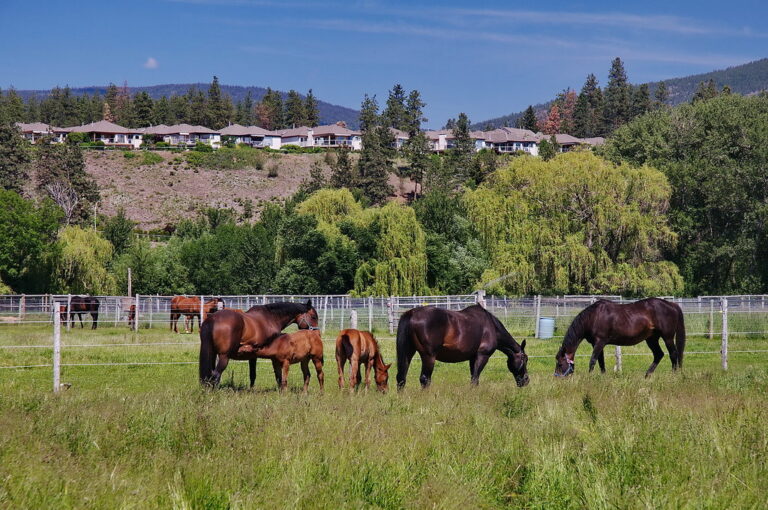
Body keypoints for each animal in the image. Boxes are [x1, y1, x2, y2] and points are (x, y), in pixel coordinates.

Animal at [396, 304, 529, 389]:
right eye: (525, 360)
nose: (526, 380)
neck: (491, 327)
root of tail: (411, 314)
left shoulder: (472, 358)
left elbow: (473, 378)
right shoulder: (482, 356)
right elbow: (475, 379)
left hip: (408, 352)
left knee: (401, 378)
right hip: (428, 356)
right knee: (425, 379)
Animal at [554, 298, 686, 378]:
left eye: (560, 364)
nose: (556, 377)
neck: (594, 317)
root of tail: (671, 304)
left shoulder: (600, 342)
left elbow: (593, 360)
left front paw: (590, 377)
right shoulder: (596, 344)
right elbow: (601, 361)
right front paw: (602, 376)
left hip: (668, 337)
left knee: (673, 354)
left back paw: (674, 374)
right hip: (651, 339)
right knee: (659, 354)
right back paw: (647, 375)